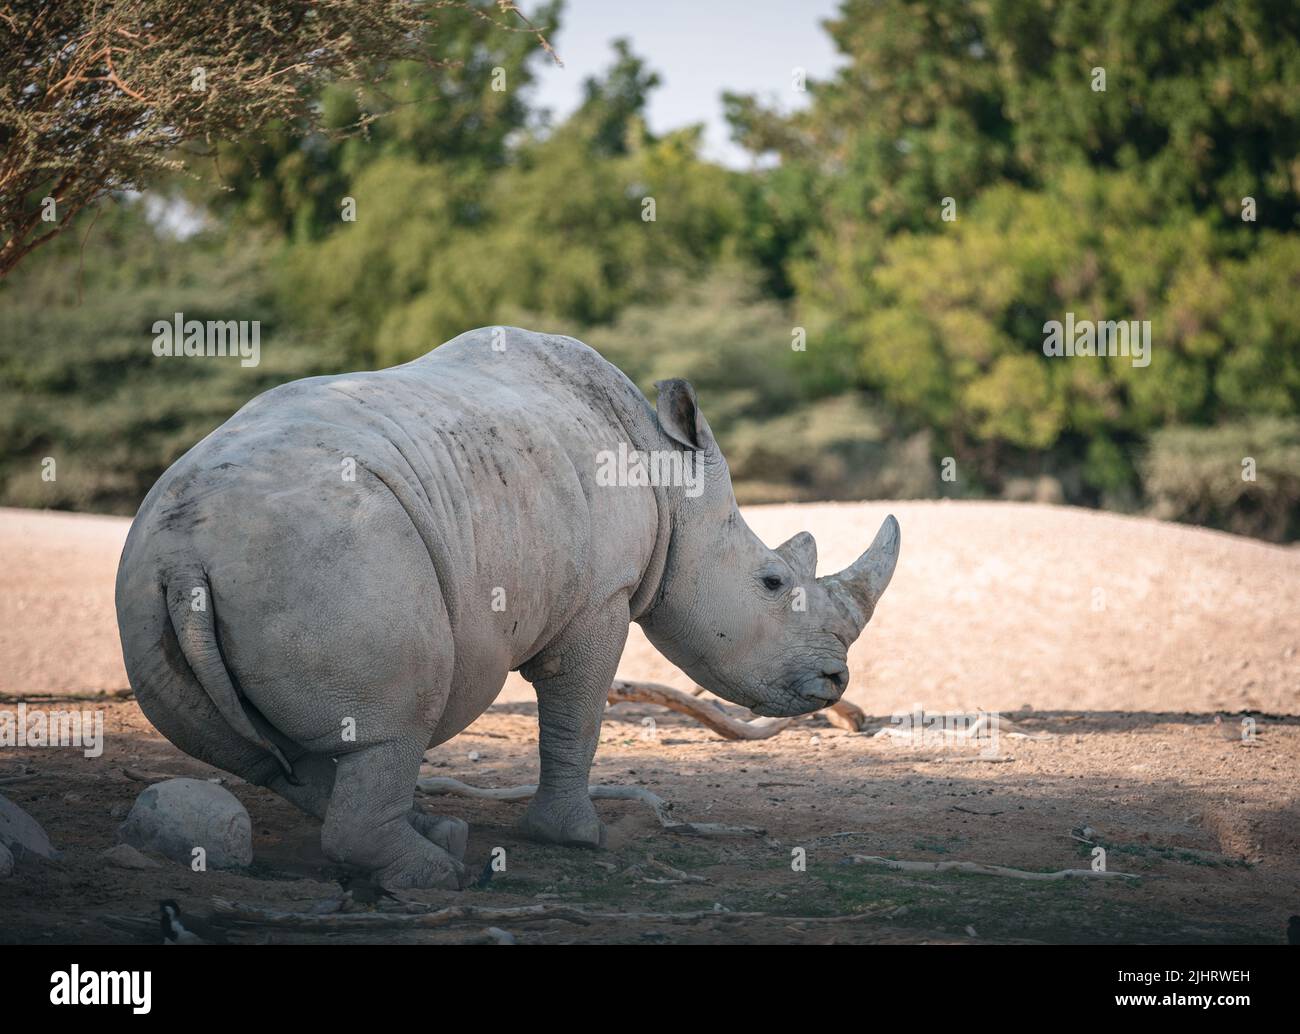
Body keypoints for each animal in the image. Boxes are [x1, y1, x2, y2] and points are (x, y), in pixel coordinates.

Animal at [115, 328, 900, 889]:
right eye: (771, 581)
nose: (835, 682)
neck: (672, 482)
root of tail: (184, 554)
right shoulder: (599, 597)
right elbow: (576, 715)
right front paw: (576, 837)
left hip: (154, 593)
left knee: (269, 756)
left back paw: (431, 837)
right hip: (331, 558)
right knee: (389, 724)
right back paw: (432, 872)